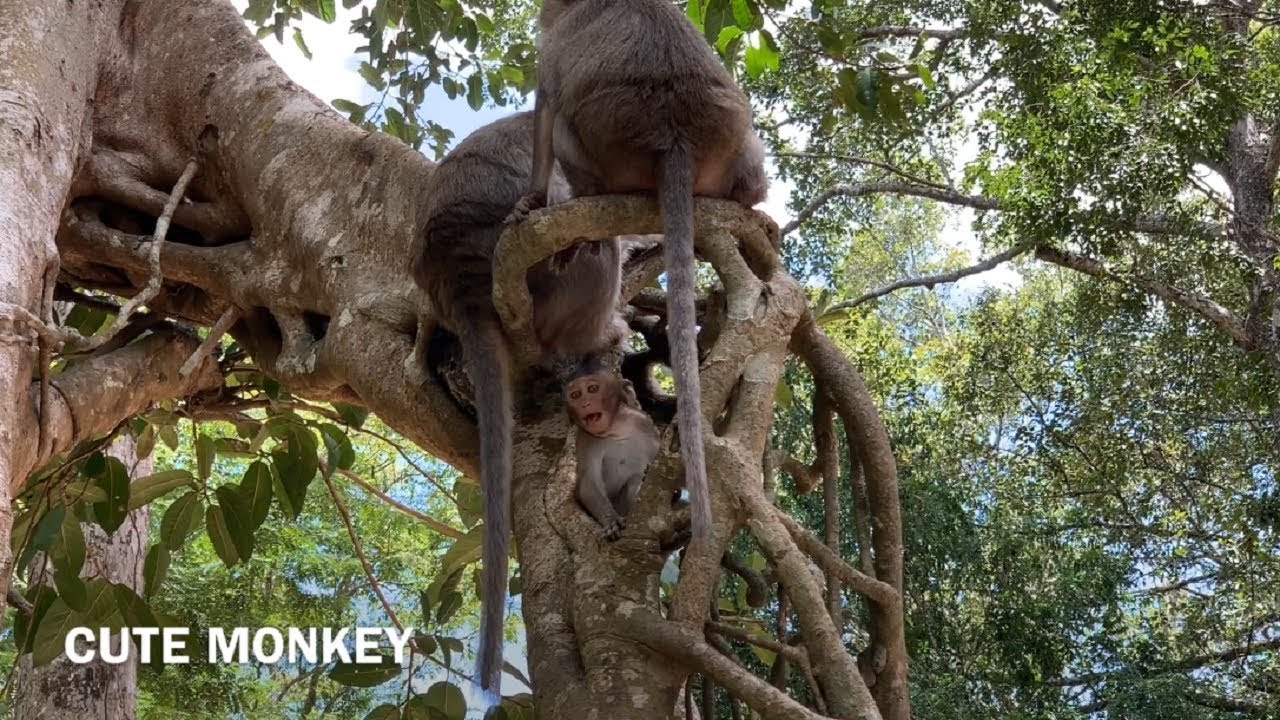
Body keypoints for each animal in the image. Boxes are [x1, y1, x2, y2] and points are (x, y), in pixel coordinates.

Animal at [564, 362, 661, 540]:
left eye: (592, 389)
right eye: (575, 395)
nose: (584, 404)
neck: (616, 429)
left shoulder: (643, 421)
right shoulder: (585, 438)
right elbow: (589, 481)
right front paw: (611, 522)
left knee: (635, 478)